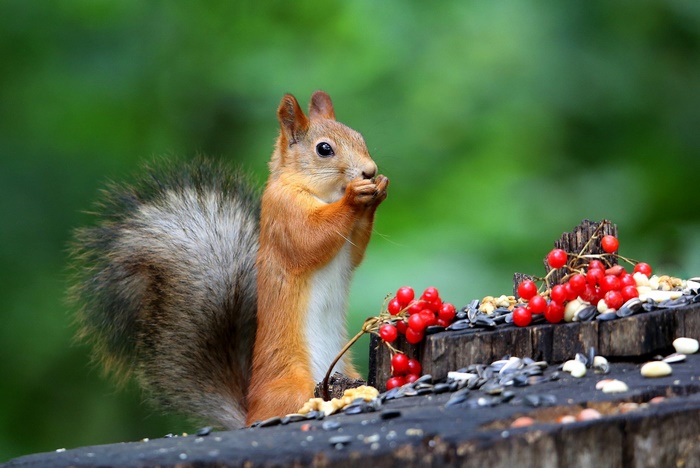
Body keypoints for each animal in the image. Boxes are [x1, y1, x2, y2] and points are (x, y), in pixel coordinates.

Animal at [69, 91, 389, 429]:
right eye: (324, 149)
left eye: (360, 137)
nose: (369, 170)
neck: (322, 194)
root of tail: (250, 416)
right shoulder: (283, 214)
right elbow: (309, 239)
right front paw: (355, 196)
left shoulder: (346, 243)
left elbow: (354, 252)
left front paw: (378, 190)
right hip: (292, 386)